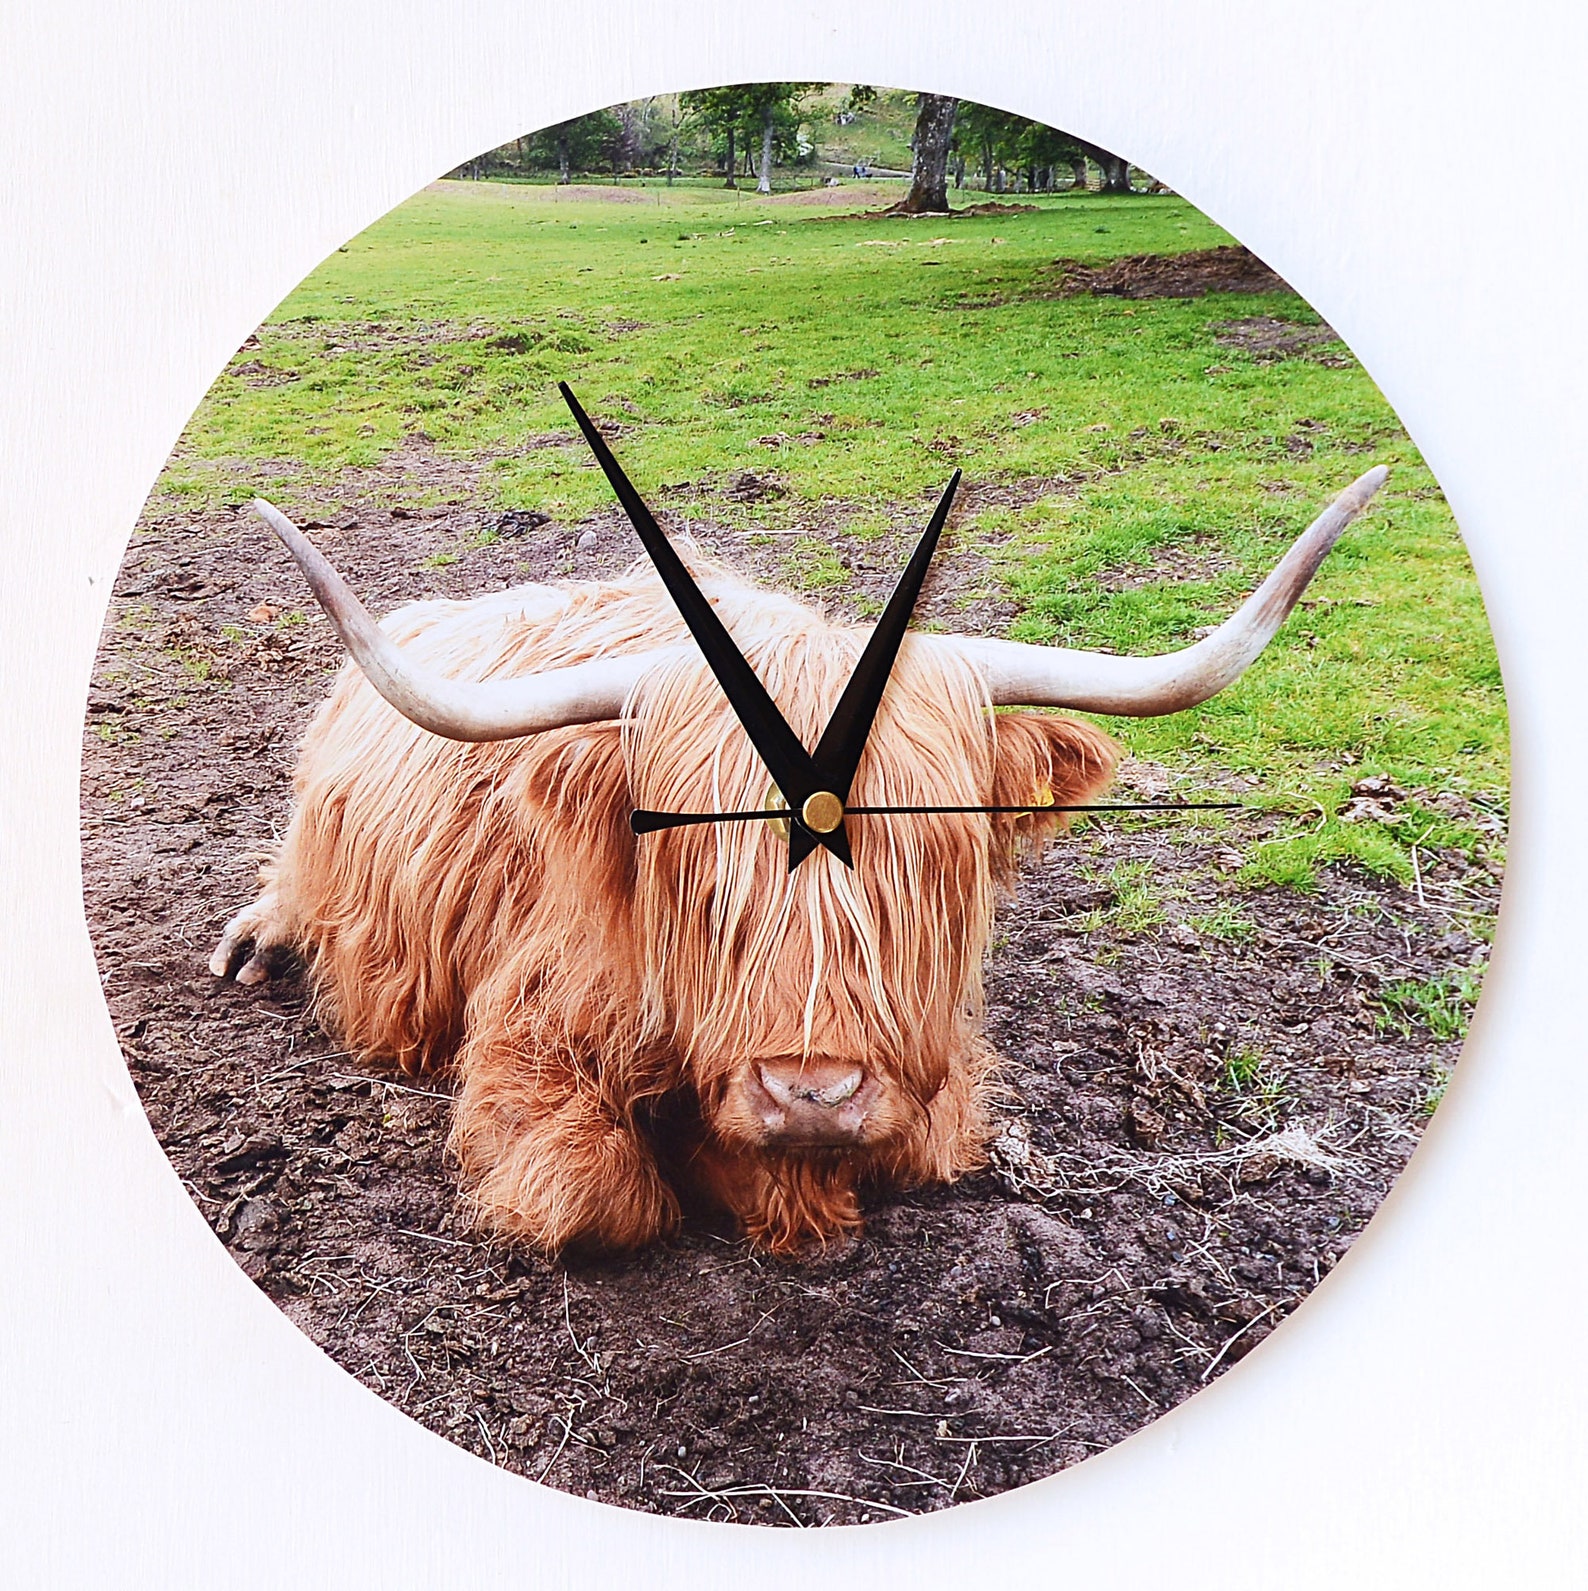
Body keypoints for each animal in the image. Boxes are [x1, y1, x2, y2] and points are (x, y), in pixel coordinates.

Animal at [209, 465, 1387, 1256]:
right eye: (695, 858)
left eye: (928, 849)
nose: (810, 1092)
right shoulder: (528, 1033)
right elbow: (596, 1195)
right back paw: (255, 945)